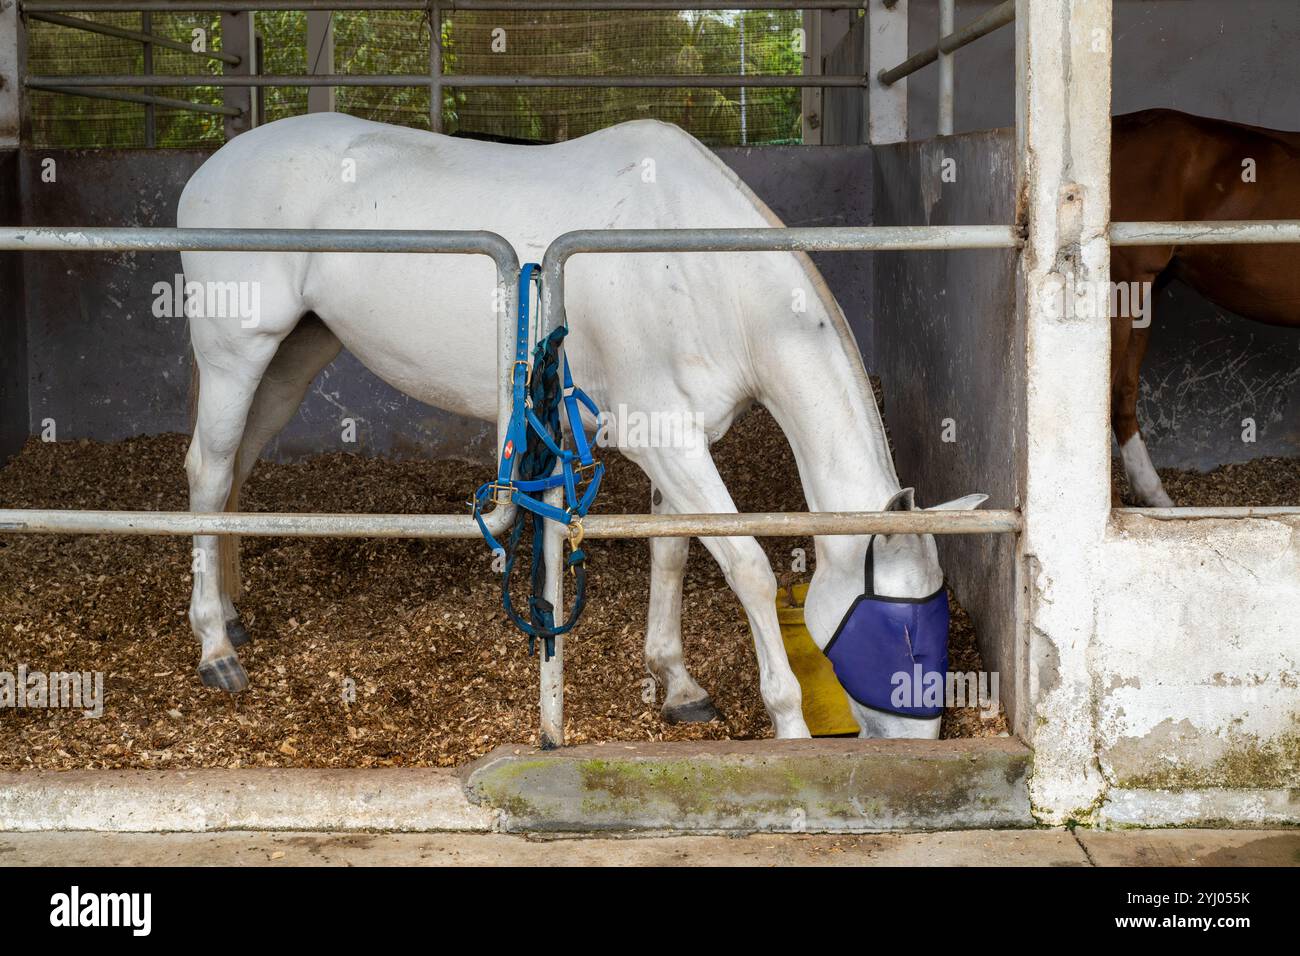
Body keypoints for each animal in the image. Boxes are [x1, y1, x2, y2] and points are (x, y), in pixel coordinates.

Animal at [177, 112, 987, 740]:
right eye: (902, 633)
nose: (920, 740)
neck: (691, 263)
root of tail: (206, 173)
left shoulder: (681, 442)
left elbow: (673, 553)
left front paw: (678, 684)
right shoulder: (661, 435)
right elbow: (748, 566)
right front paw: (787, 722)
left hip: (293, 357)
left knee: (237, 469)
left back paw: (234, 612)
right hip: (235, 354)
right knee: (209, 473)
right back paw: (216, 647)